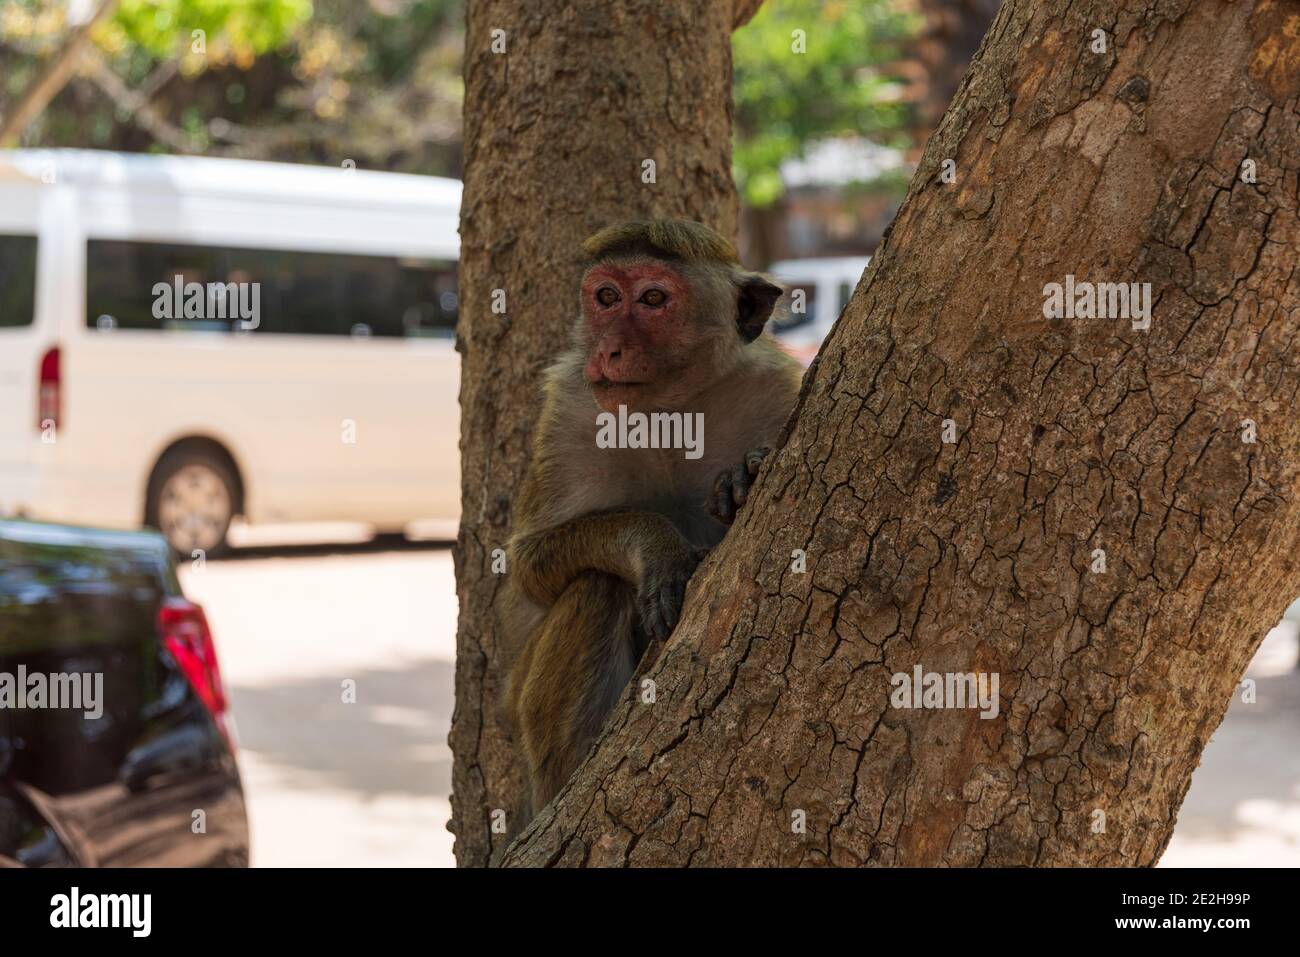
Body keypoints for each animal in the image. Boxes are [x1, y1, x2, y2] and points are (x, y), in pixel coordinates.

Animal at [497, 219, 803, 827]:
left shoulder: (779, 391)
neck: (669, 412)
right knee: (595, 587)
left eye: (654, 300)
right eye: (606, 297)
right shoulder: (569, 409)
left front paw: (742, 475)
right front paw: (657, 547)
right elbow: (527, 565)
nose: (608, 348)